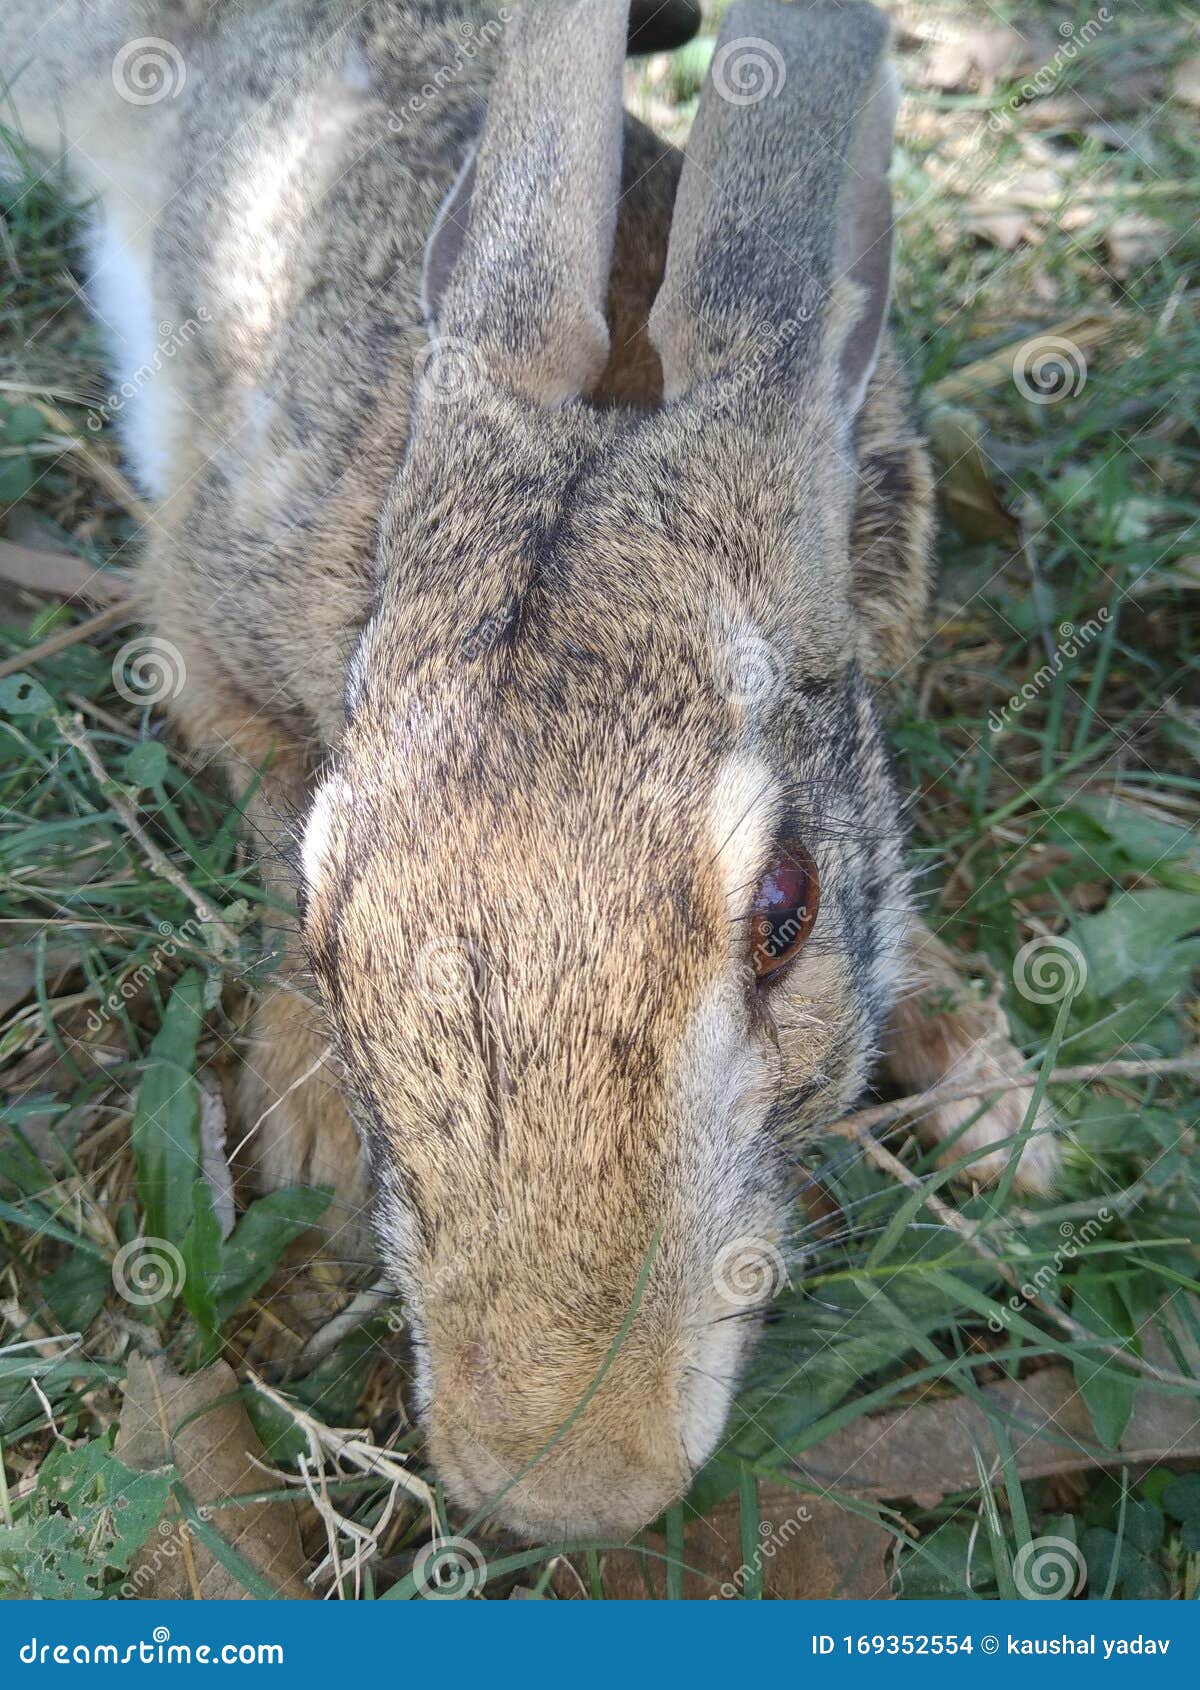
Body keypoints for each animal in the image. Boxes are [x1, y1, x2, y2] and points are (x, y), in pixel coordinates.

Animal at [3, 0, 1058, 1542]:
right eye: (330, 923)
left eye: (787, 910)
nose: (569, 1482)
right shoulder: (207, 622)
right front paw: (307, 1117)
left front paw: (1006, 1112)